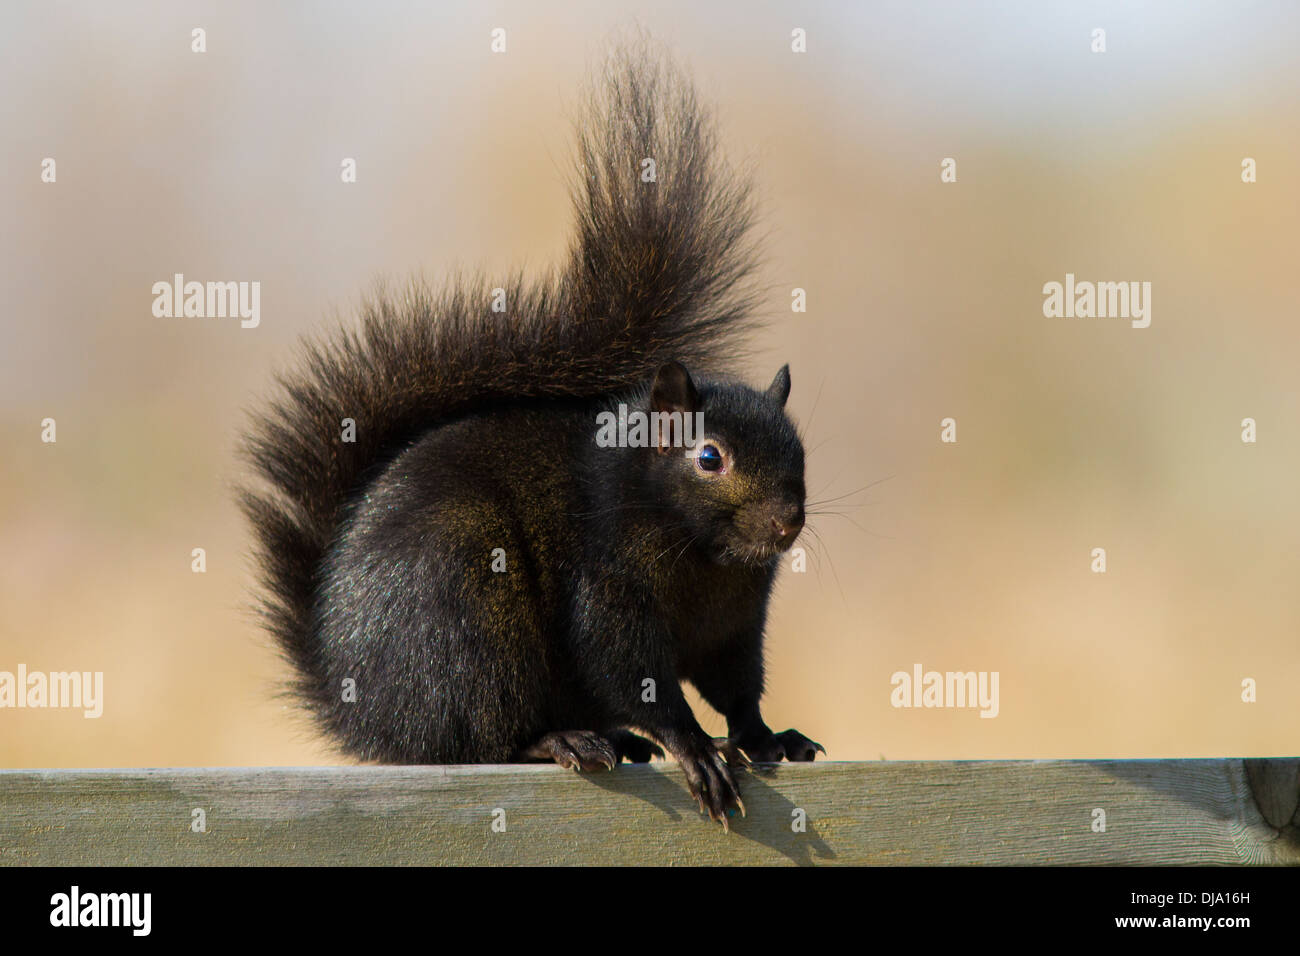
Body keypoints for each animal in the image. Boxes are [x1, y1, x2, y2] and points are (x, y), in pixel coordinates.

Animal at [240, 46, 823, 829]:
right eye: (709, 456)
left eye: (800, 451)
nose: (787, 521)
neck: (706, 556)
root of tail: (353, 700)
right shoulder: (609, 585)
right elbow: (631, 675)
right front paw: (695, 749)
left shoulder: (738, 625)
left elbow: (738, 689)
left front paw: (767, 738)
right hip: (464, 614)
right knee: (479, 737)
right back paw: (563, 740)